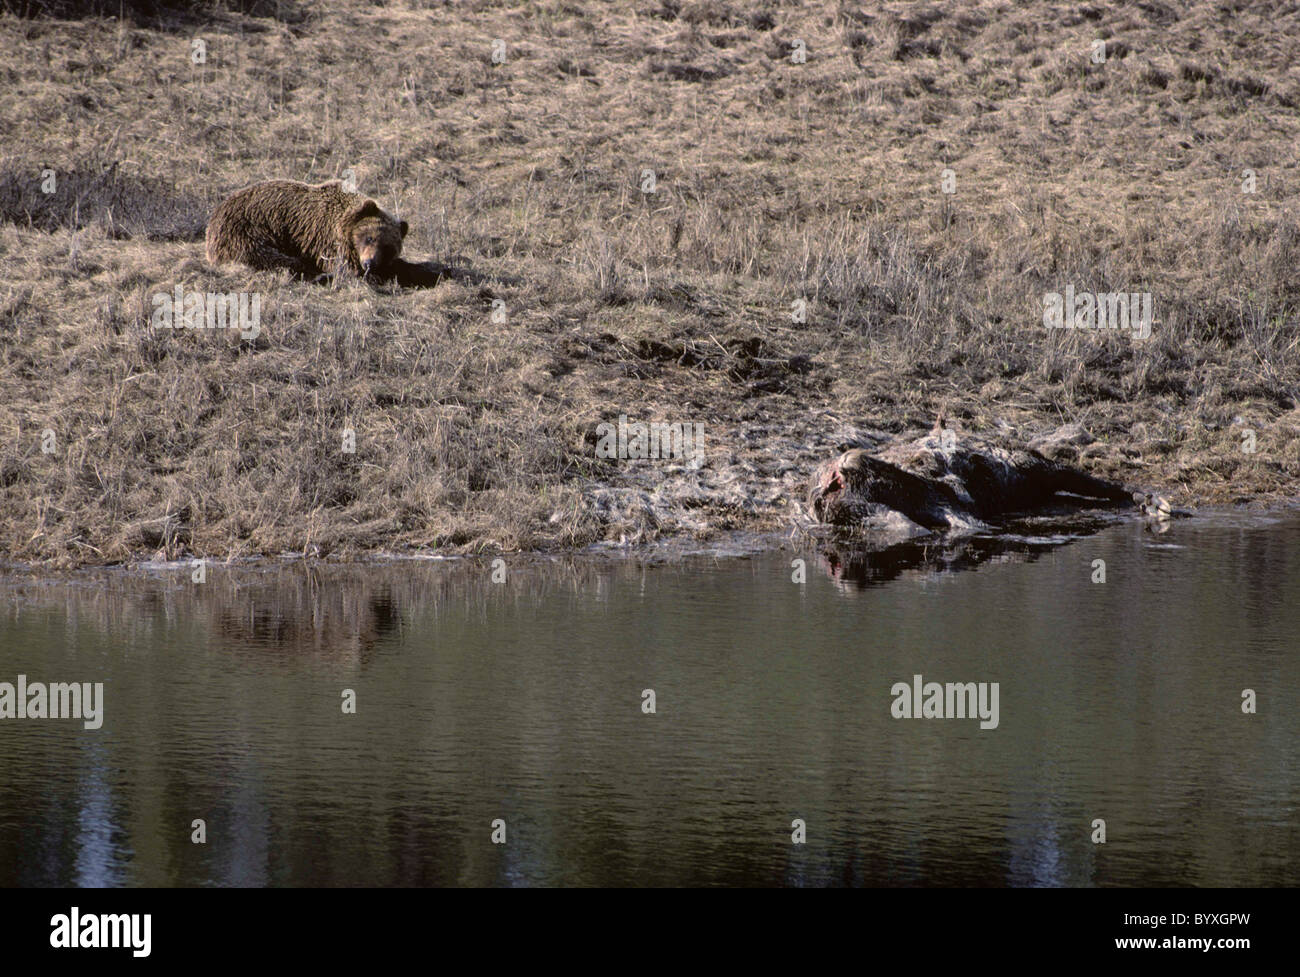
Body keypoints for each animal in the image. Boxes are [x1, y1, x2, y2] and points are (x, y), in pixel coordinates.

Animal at [205, 179, 410, 281]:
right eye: (369, 238)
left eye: (388, 248)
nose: (369, 263)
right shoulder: (326, 237)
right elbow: (342, 266)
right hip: (245, 231)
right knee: (268, 256)